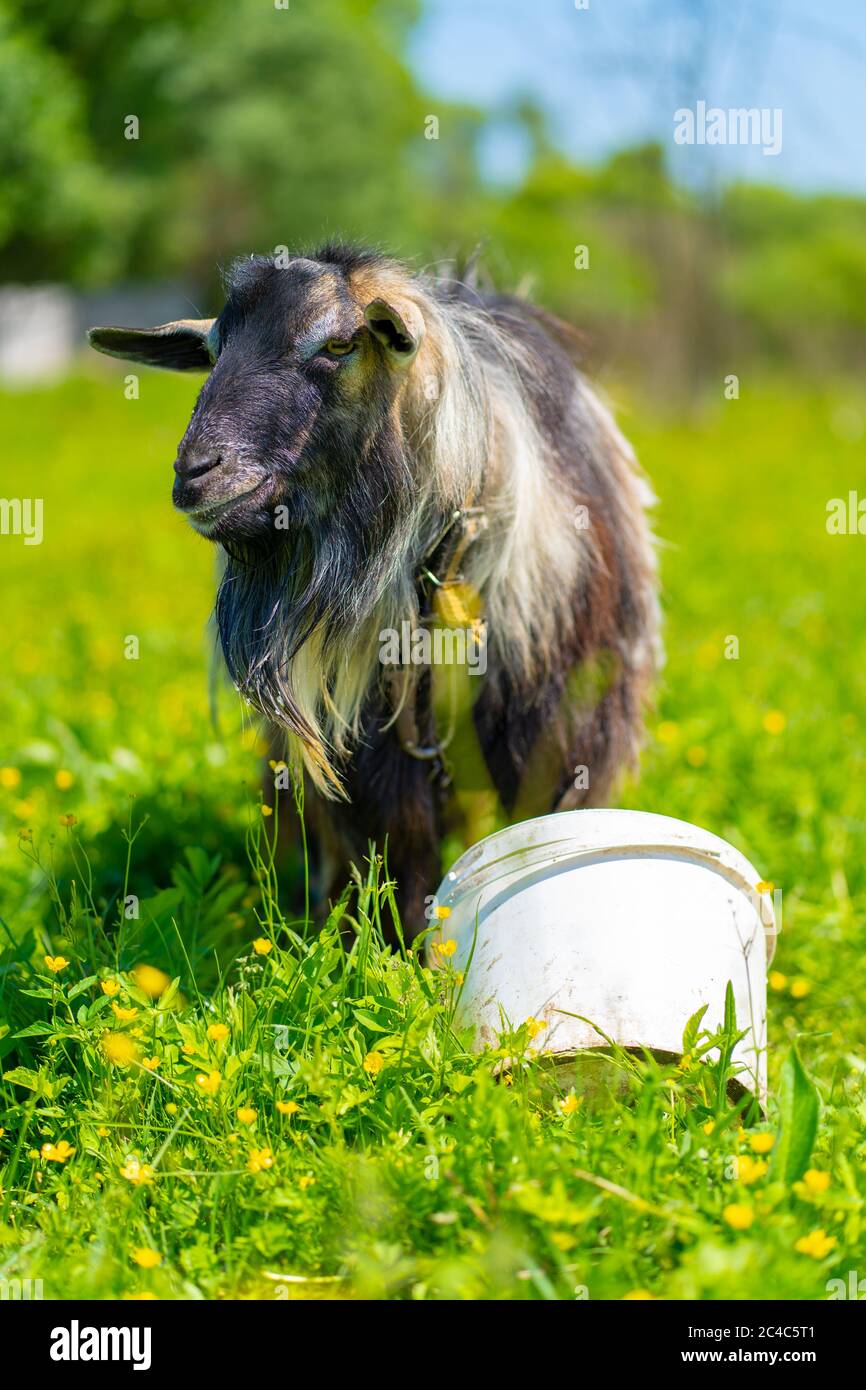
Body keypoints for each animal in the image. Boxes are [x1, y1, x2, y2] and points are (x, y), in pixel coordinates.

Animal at [89, 244, 660, 937]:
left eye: (339, 343)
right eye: (214, 346)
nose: (195, 473)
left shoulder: (565, 728)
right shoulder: (367, 745)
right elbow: (395, 851)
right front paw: (397, 947)